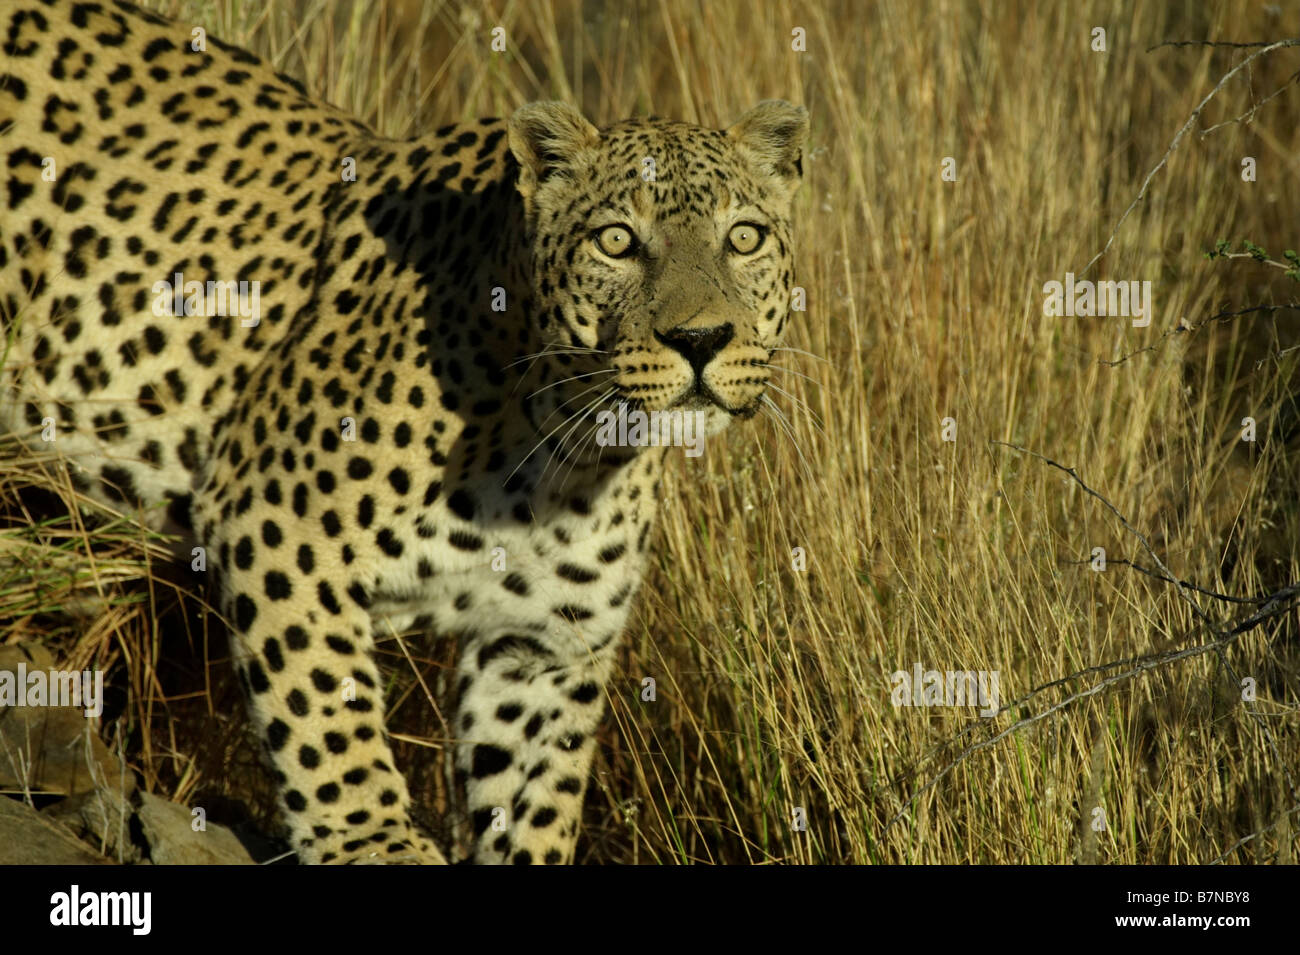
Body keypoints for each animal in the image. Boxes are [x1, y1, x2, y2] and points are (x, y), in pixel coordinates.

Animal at [0, 0, 808, 864]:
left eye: (745, 238)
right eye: (616, 240)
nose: (701, 339)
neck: (572, 449)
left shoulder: (544, 645)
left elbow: (535, 797)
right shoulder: (276, 520)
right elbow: (326, 708)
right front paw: (376, 838)